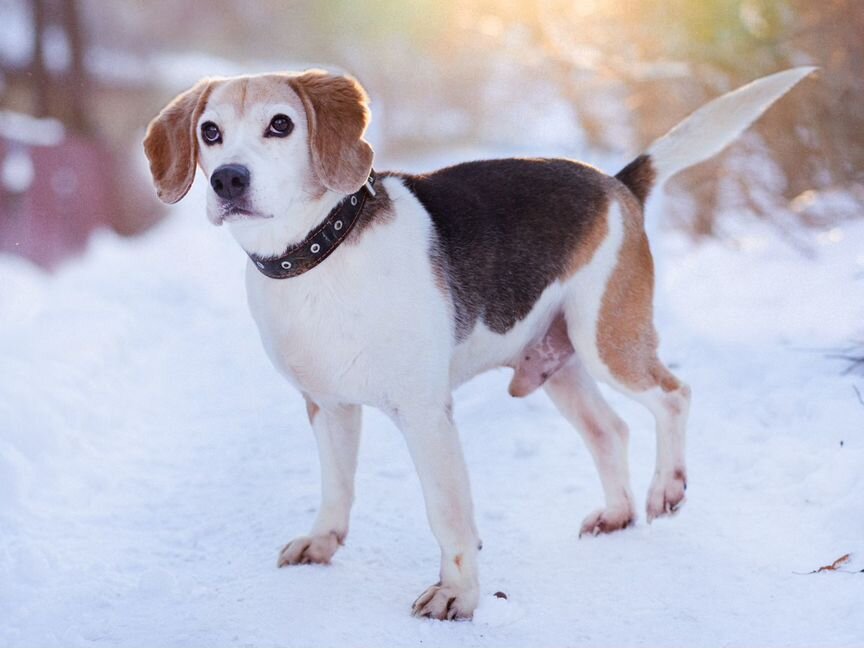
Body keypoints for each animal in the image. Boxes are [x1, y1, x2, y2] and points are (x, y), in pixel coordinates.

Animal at [145, 68, 812, 620]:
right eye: (209, 132)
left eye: (280, 124)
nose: (229, 178)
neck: (321, 251)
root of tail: (616, 183)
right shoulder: (327, 406)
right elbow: (337, 486)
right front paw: (323, 540)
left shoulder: (425, 416)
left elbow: (448, 515)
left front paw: (457, 596)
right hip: (558, 363)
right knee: (610, 431)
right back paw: (618, 513)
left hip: (609, 341)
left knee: (675, 395)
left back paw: (666, 488)